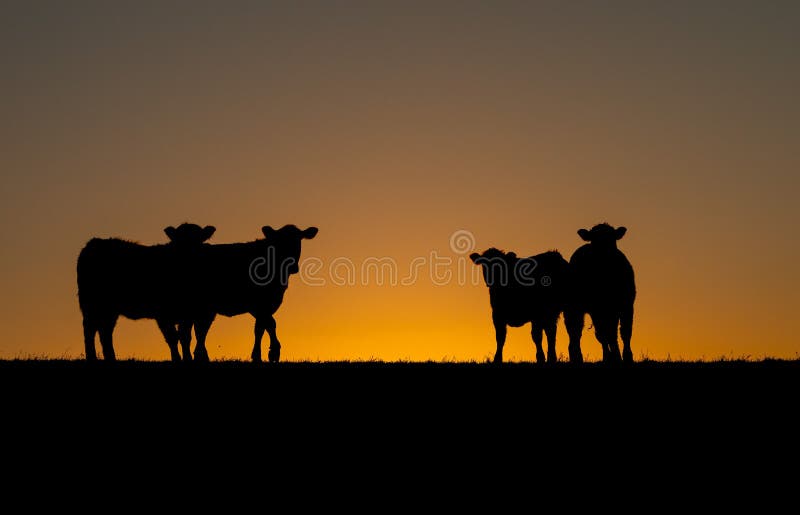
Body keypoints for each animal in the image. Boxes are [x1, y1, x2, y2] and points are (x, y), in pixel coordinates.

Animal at [77, 223, 216, 361]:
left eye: (199, 240)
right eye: (178, 240)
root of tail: (95, 242)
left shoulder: (189, 314)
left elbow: (185, 337)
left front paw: (187, 358)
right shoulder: (163, 313)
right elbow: (172, 338)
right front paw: (176, 358)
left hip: (109, 309)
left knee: (104, 330)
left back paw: (110, 357)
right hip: (90, 303)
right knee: (90, 329)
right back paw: (92, 357)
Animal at [186, 224, 318, 363]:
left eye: (298, 240)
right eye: (280, 242)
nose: (293, 266)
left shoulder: (264, 305)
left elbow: (264, 326)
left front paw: (266, 353)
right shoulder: (259, 304)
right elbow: (266, 325)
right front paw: (269, 353)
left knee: (199, 329)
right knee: (198, 330)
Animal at [564, 223, 636, 363]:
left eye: (612, 239)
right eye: (594, 239)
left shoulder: (626, 305)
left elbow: (625, 331)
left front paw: (626, 356)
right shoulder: (597, 309)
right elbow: (604, 334)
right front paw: (612, 356)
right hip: (576, 308)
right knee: (576, 332)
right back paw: (578, 357)